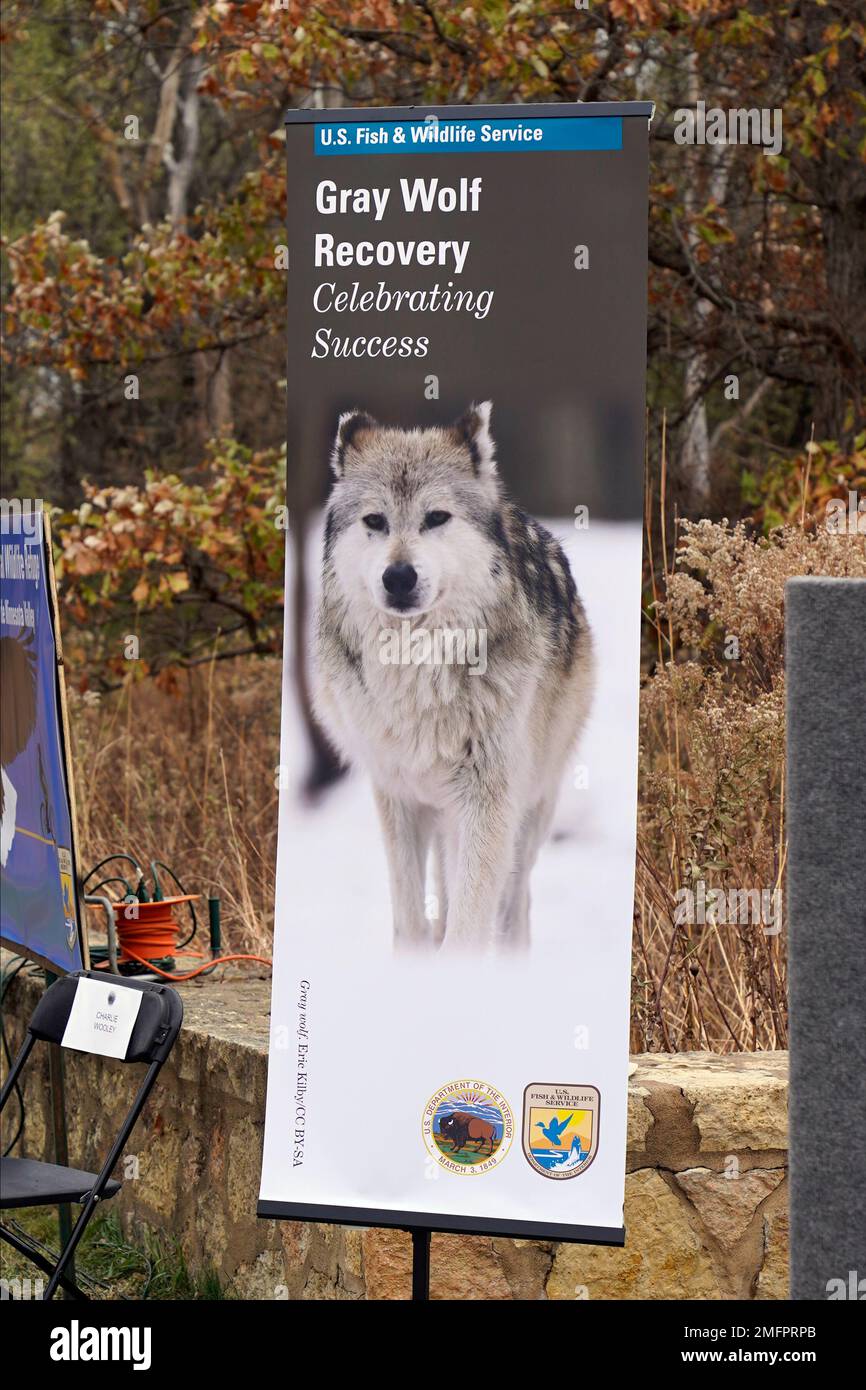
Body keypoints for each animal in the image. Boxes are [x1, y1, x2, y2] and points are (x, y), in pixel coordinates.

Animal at [313, 402, 594, 951]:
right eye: (375, 521)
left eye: (436, 518)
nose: (399, 577)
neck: (415, 672)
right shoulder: (397, 794)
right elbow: (411, 920)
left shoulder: (490, 800)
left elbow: (467, 927)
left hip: (529, 806)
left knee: (513, 904)